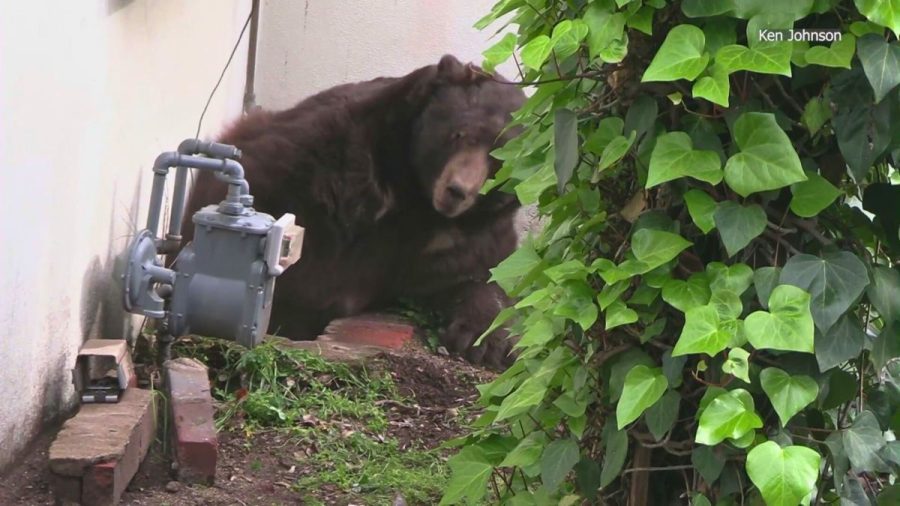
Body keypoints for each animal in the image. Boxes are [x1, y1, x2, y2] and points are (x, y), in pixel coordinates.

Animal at [180, 55, 526, 368]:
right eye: (458, 133)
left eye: (497, 158)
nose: (457, 191)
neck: (416, 200)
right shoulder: (336, 158)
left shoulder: (459, 237)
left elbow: (484, 272)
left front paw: (490, 343)